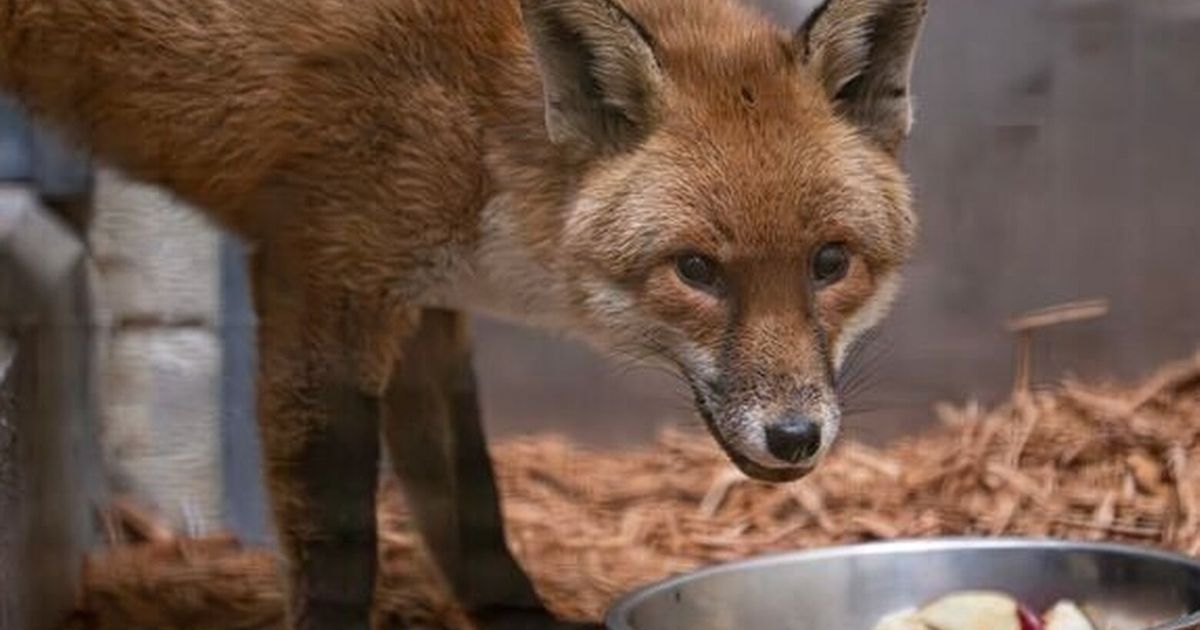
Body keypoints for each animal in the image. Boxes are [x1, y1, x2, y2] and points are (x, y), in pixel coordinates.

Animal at [1, 0, 926, 627]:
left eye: (830, 262)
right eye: (696, 270)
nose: (796, 436)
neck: (478, 107)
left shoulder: (425, 305)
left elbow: (469, 506)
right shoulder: (322, 279)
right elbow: (341, 543)